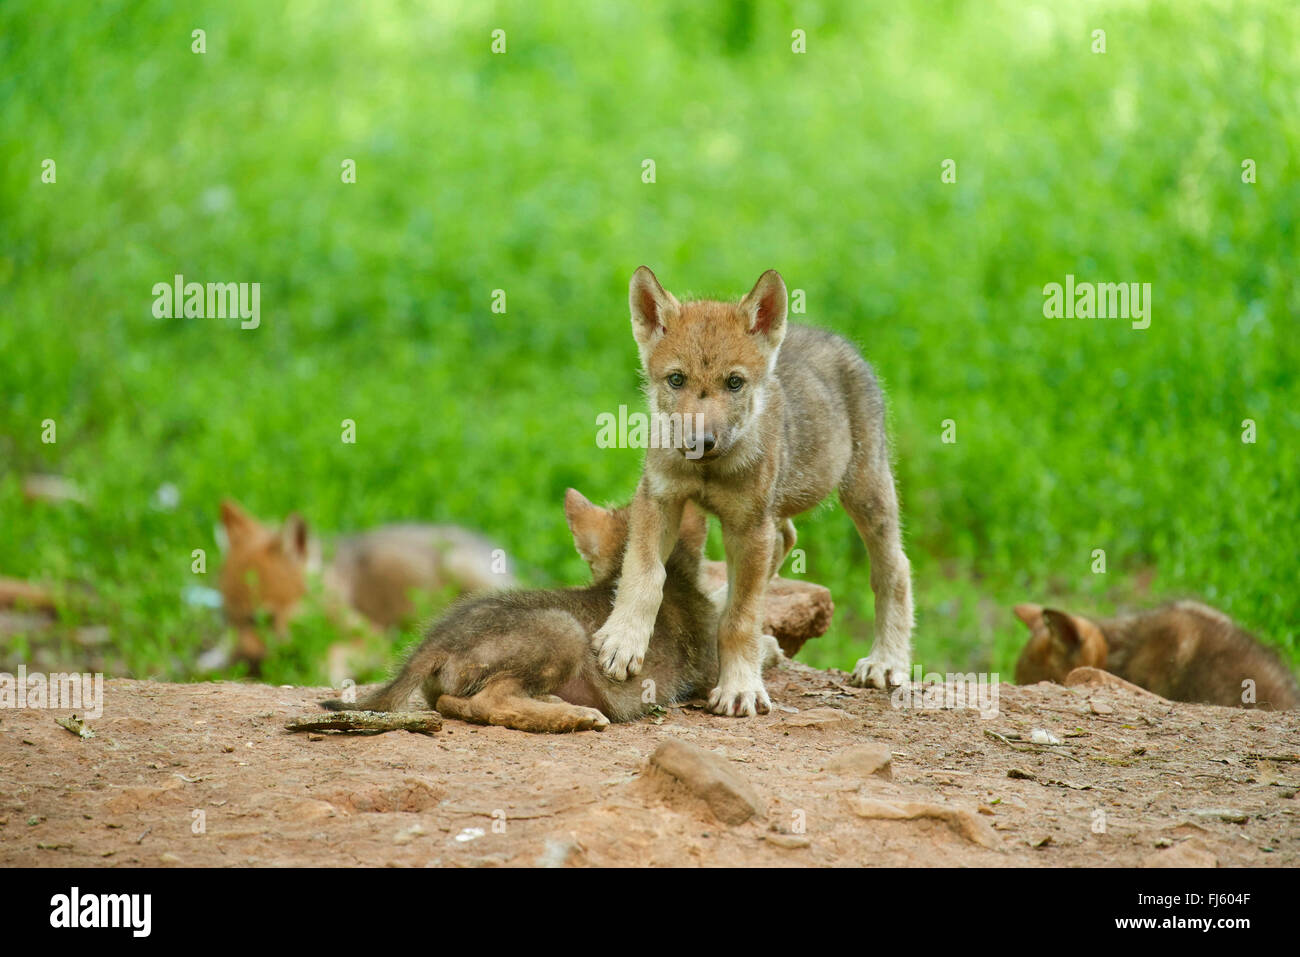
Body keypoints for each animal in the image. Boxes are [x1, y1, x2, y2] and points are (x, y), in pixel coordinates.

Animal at [321, 490, 783, 732]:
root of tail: (435, 642)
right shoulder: (710, 667)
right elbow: (755, 646)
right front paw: (772, 649)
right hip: (564, 632)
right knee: (490, 702)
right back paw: (577, 715)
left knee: (455, 703)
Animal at [589, 267, 913, 716]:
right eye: (676, 379)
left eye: (734, 383)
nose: (700, 441)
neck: (708, 470)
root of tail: (835, 339)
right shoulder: (659, 498)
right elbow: (644, 575)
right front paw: (623, 640)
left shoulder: (749, 524)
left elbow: (741, 618)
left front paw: (739, 687)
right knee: (786, 540)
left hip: (864, 491)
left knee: (894, 568)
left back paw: (886, 661)